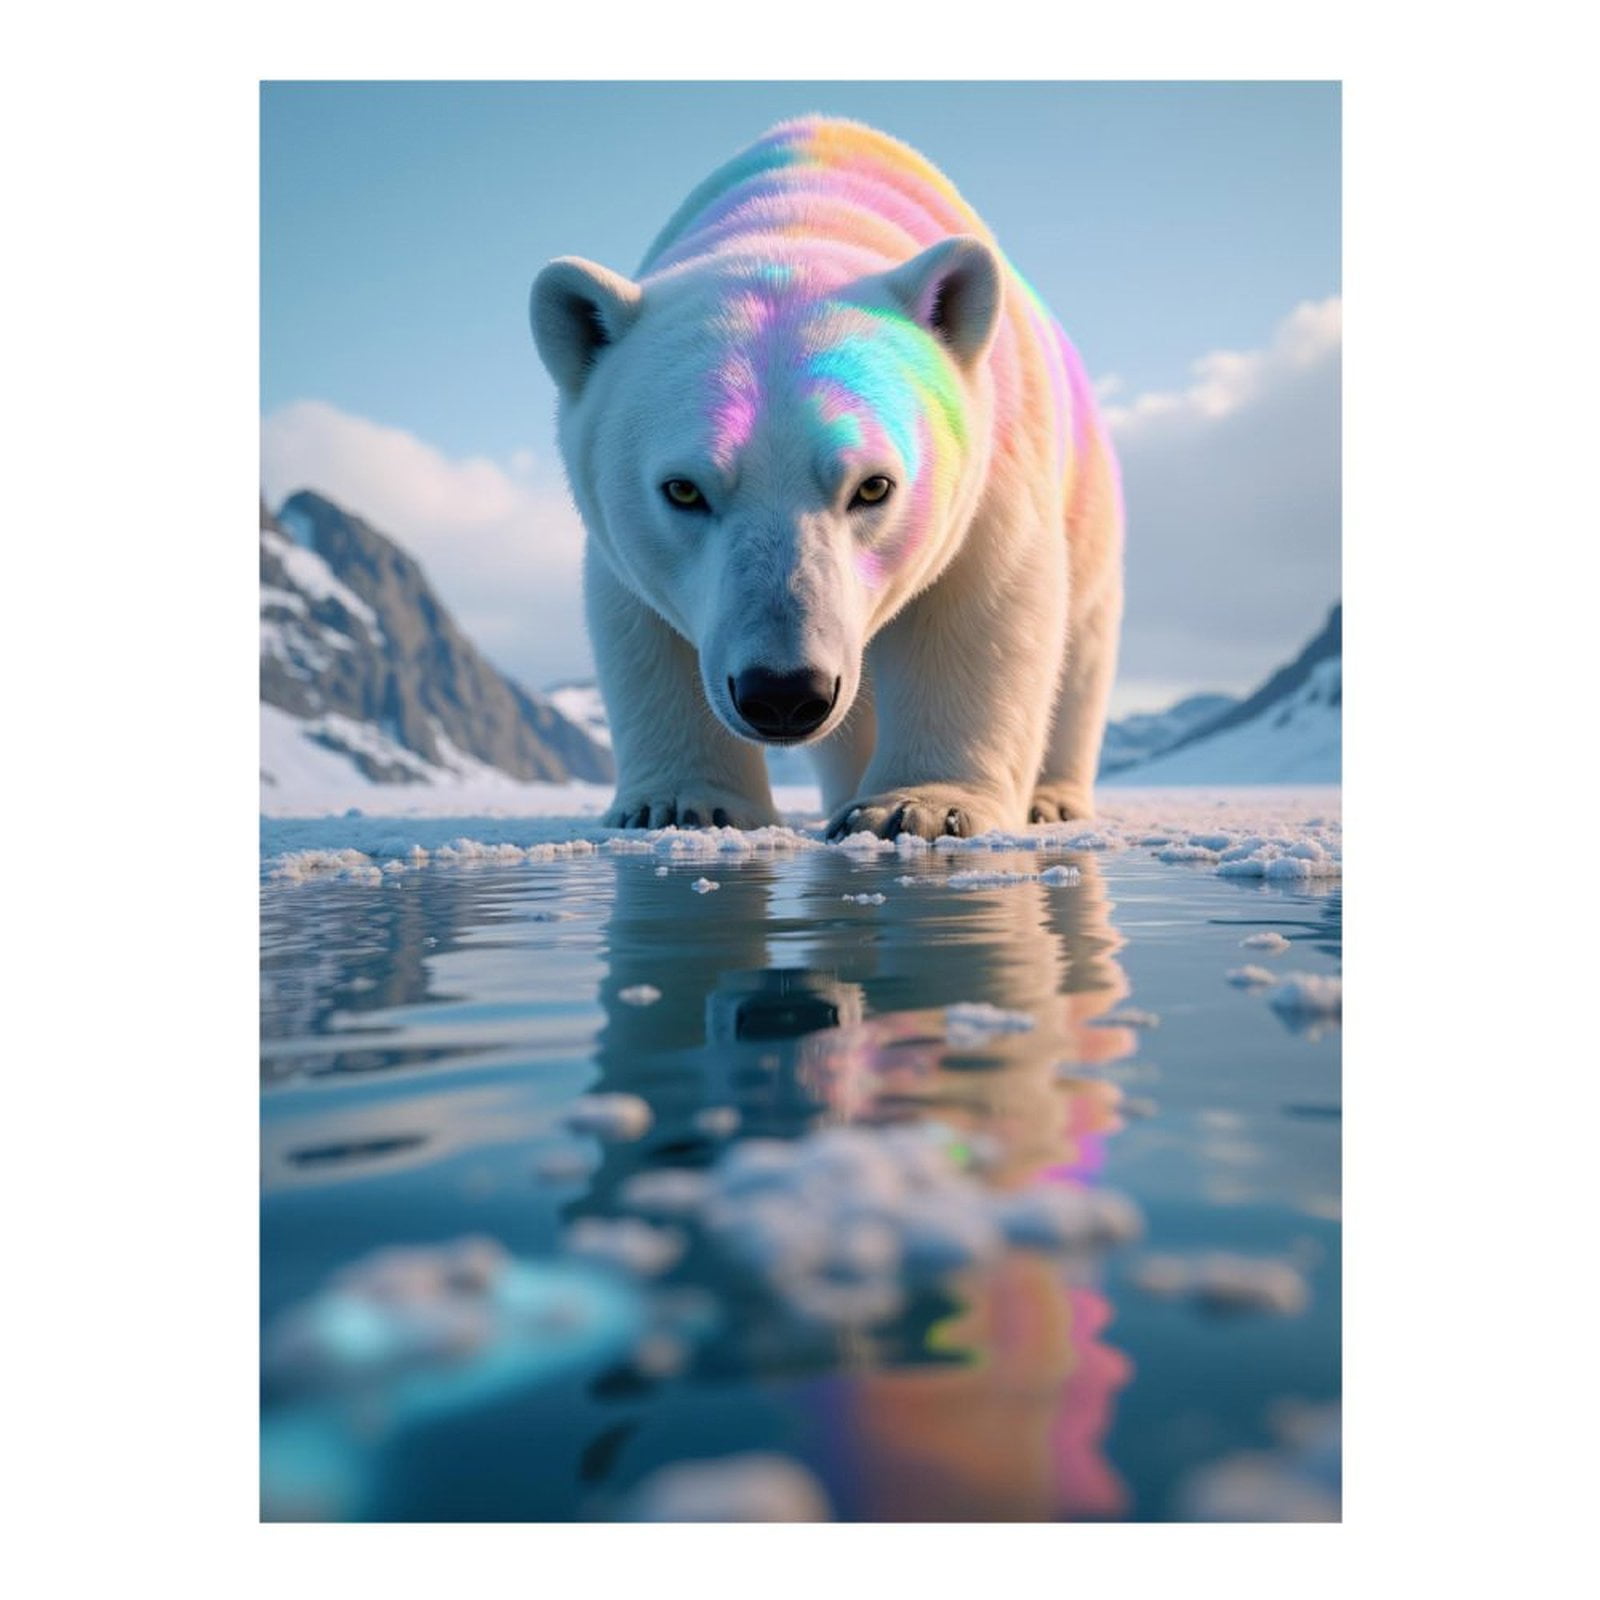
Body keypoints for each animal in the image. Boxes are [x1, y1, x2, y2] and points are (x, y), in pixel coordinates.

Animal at [530, 115, 1123, 839]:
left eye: (873, 486)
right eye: (684, 489)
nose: (784, 693)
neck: (803, 204)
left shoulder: (993, 463)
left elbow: (981, 603)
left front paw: (921, 808)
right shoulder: (626, 541)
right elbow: (644, 628)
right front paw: (680, 805)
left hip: (1090, 502)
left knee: (1082, 651)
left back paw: (1053, 800)